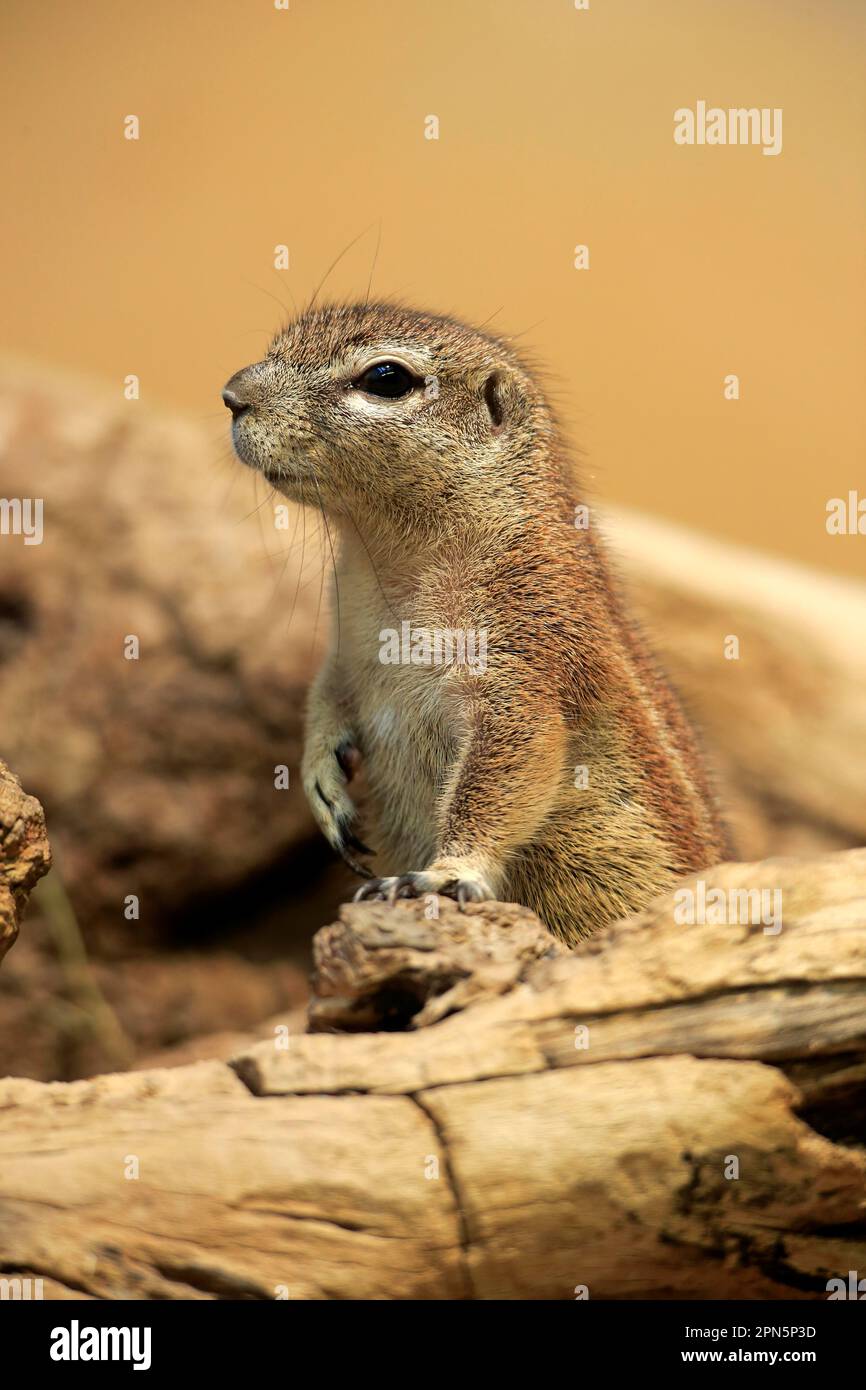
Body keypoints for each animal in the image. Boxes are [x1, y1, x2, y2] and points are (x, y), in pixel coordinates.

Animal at [223, 301, 730, 945]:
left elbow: (507, 769)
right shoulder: (346, 647)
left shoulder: (527, 647)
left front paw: (445, 873)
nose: (231, 395)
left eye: (385, 379)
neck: (391, 563)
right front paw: (321, 782)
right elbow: (325, 696)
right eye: (277, 345)